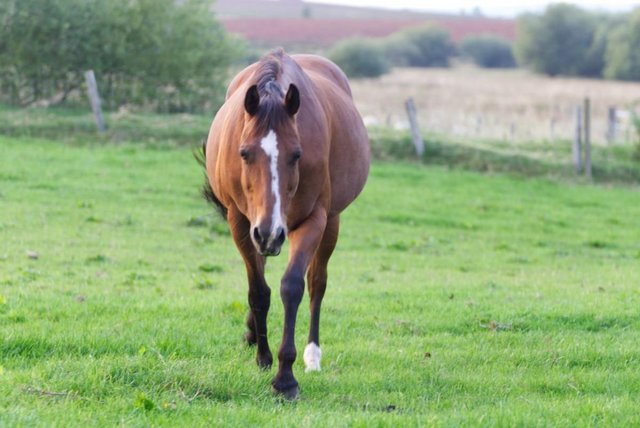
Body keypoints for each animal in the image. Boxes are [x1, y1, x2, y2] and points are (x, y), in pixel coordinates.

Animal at [202, 48, 370, 399]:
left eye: (296, 155)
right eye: (243, 153)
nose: (269, 234)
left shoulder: (312, 219)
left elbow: (292, 287)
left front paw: (285, 377)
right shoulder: (241, 221)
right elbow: (258, 290)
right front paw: (263, 357)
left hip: (327, 222)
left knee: (317, 283)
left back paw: (312, 355)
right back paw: (253, 332)